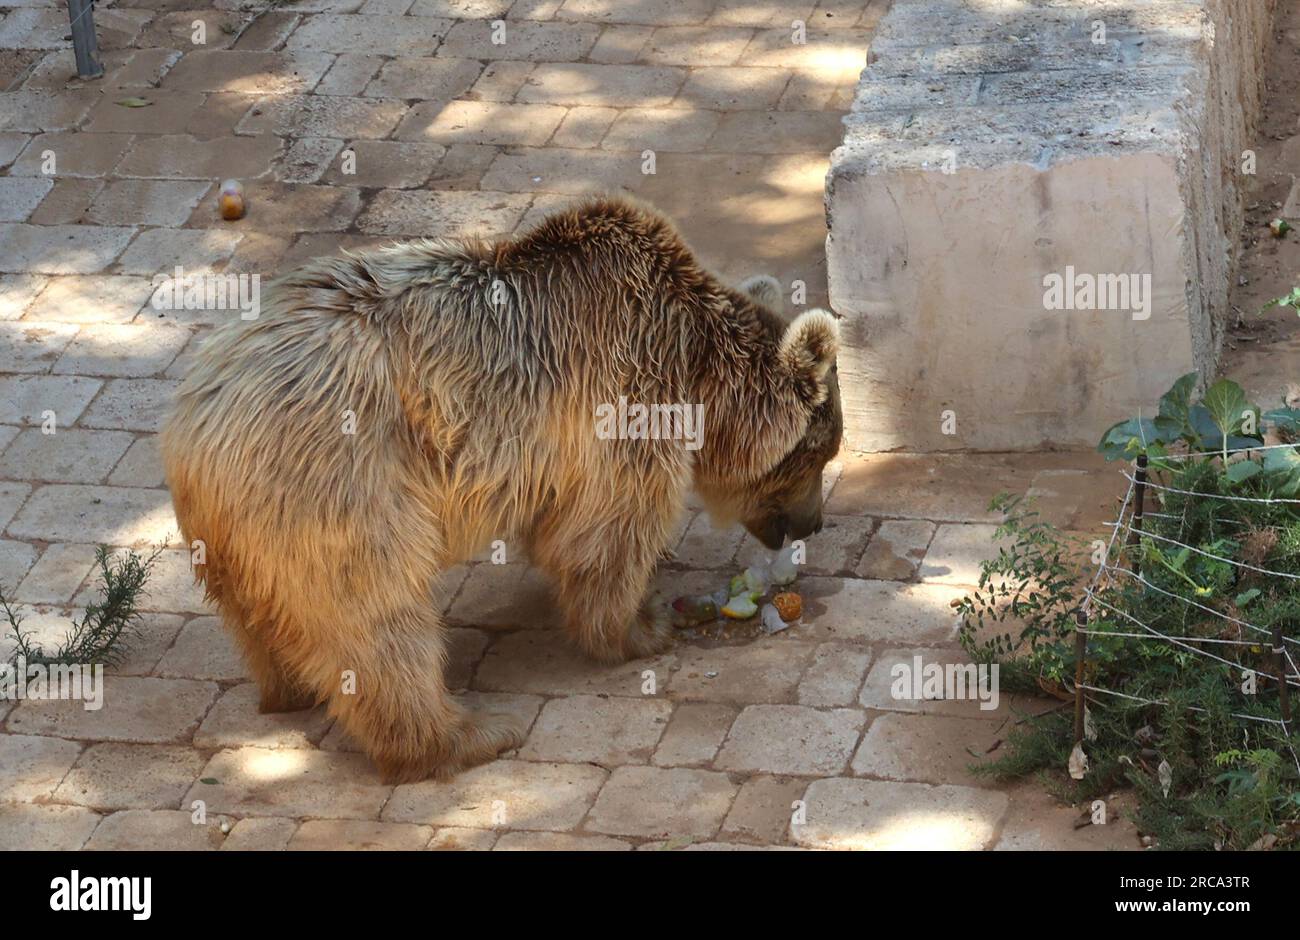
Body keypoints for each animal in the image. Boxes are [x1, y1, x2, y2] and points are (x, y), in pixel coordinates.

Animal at [161, 195, 842, 783]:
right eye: (821, 453)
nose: (813, 523)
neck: (697, 371)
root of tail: (194, 427)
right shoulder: (625, 397)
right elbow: (607, 534)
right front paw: (640, 625)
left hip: (245, 530)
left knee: (271, 615)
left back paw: (290, 687)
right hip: (341, 480)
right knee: (379, 620)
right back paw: (463, 736)